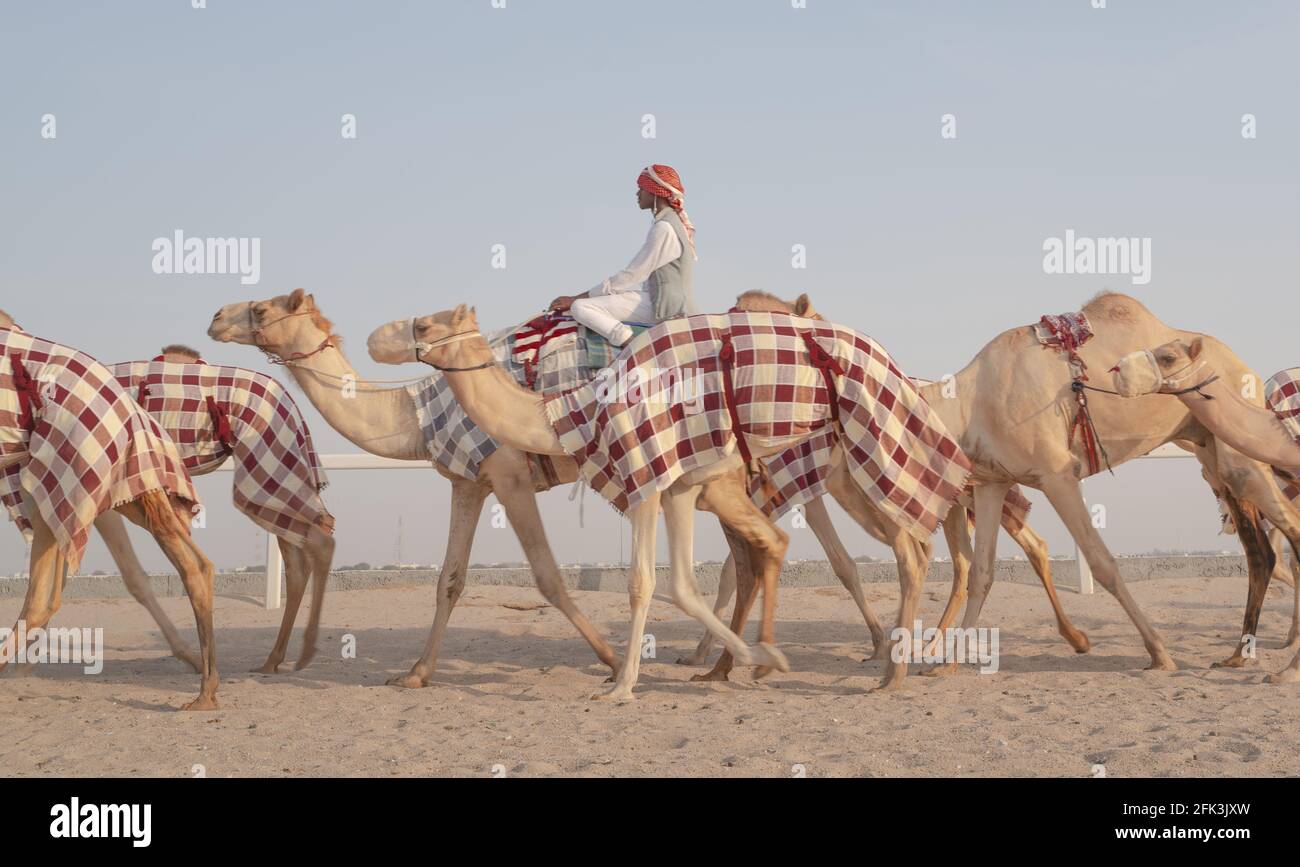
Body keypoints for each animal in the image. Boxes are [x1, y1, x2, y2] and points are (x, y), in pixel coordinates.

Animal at [933, 293, 1300, 679]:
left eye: (1168, 358)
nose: (1120, 372)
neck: (970, 403)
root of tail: (1248, 369)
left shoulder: (1056, 474)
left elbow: (1102, 563)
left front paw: (1158, 654)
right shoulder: (993, 481)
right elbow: (981, 572)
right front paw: (946, 663)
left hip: (1237, 453)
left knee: (1284, 528)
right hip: (1211, 452)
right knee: (1262, 551)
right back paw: (1238, 655)